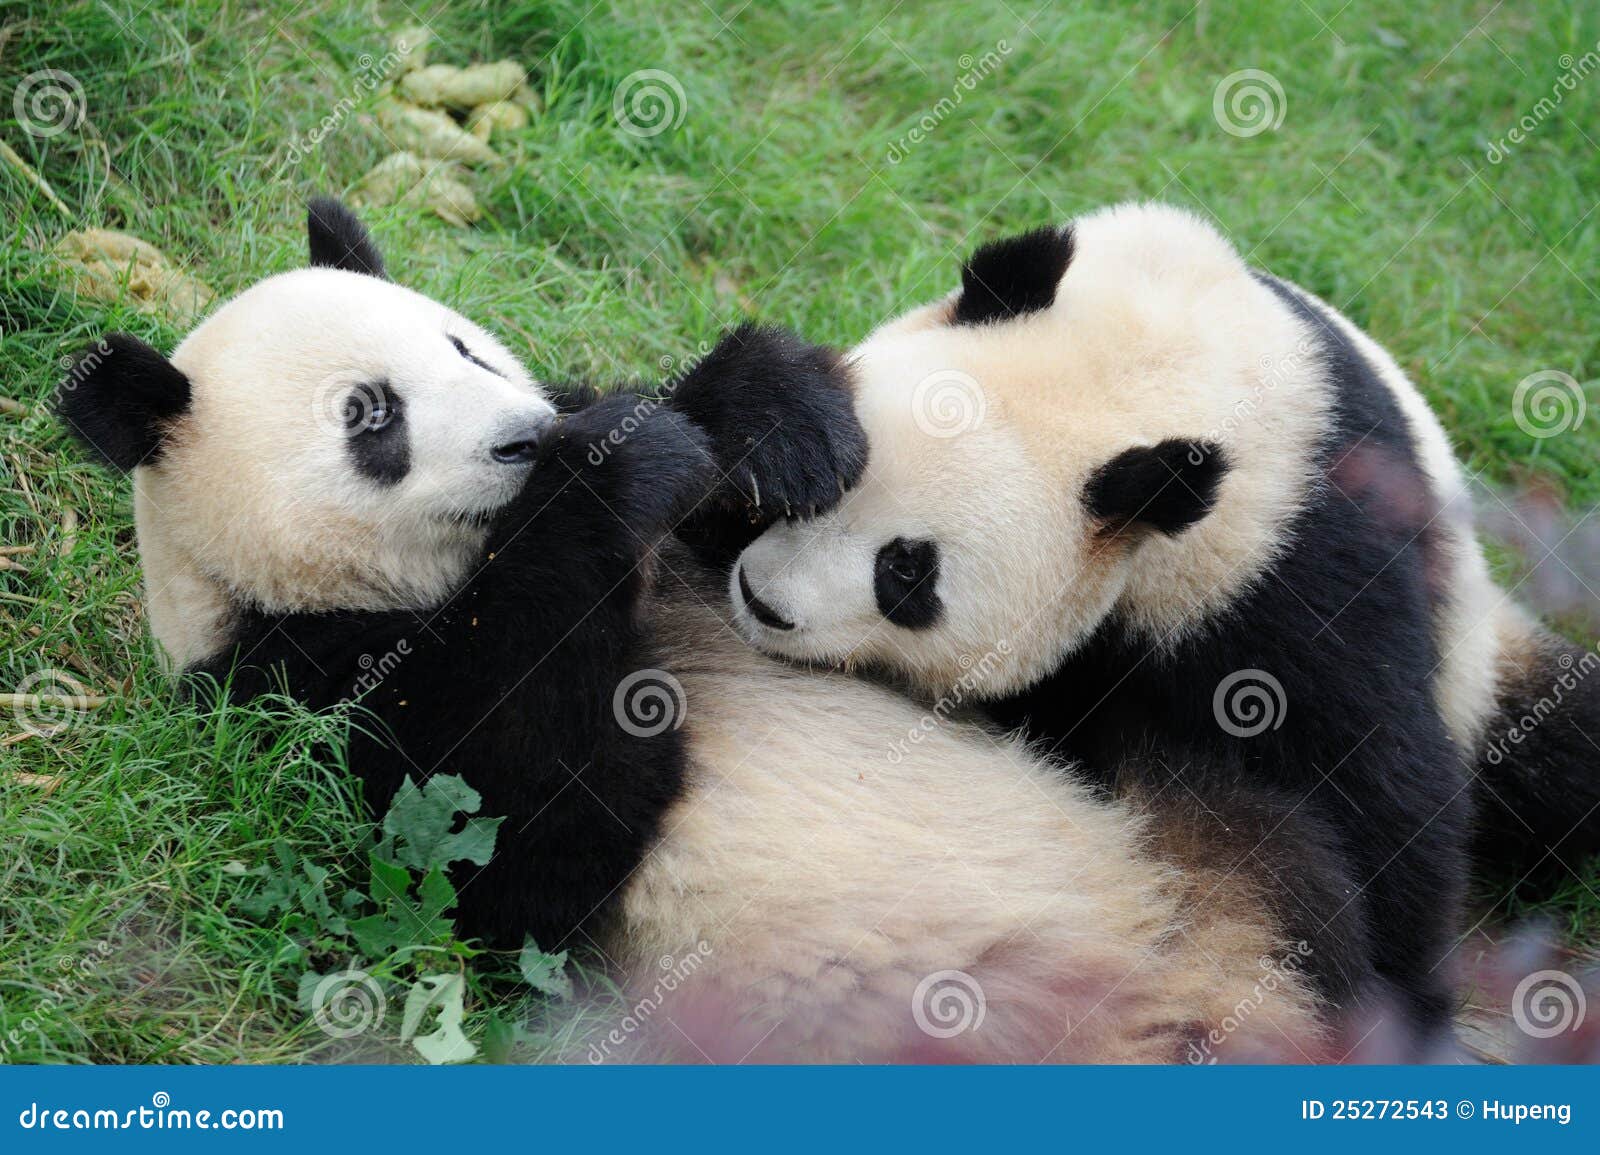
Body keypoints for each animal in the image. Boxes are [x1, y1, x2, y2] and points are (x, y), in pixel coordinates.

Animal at [55, 198, 1329, 1062]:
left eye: (462, 346)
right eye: (373, 418)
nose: (521, 436)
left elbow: (727, 487)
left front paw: (772, 421)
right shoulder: (304, 685)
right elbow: (504, 839)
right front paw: (604, 481)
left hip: (1197, 854)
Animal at [730, 200, 1600, 1042]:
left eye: (907, 572)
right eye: (836, 489)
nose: (763, 599)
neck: (1162, 376)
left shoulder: (1299, 570)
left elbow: (1379, 780)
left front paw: (1397, 1006)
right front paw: (778, 417)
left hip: (1483, 657)